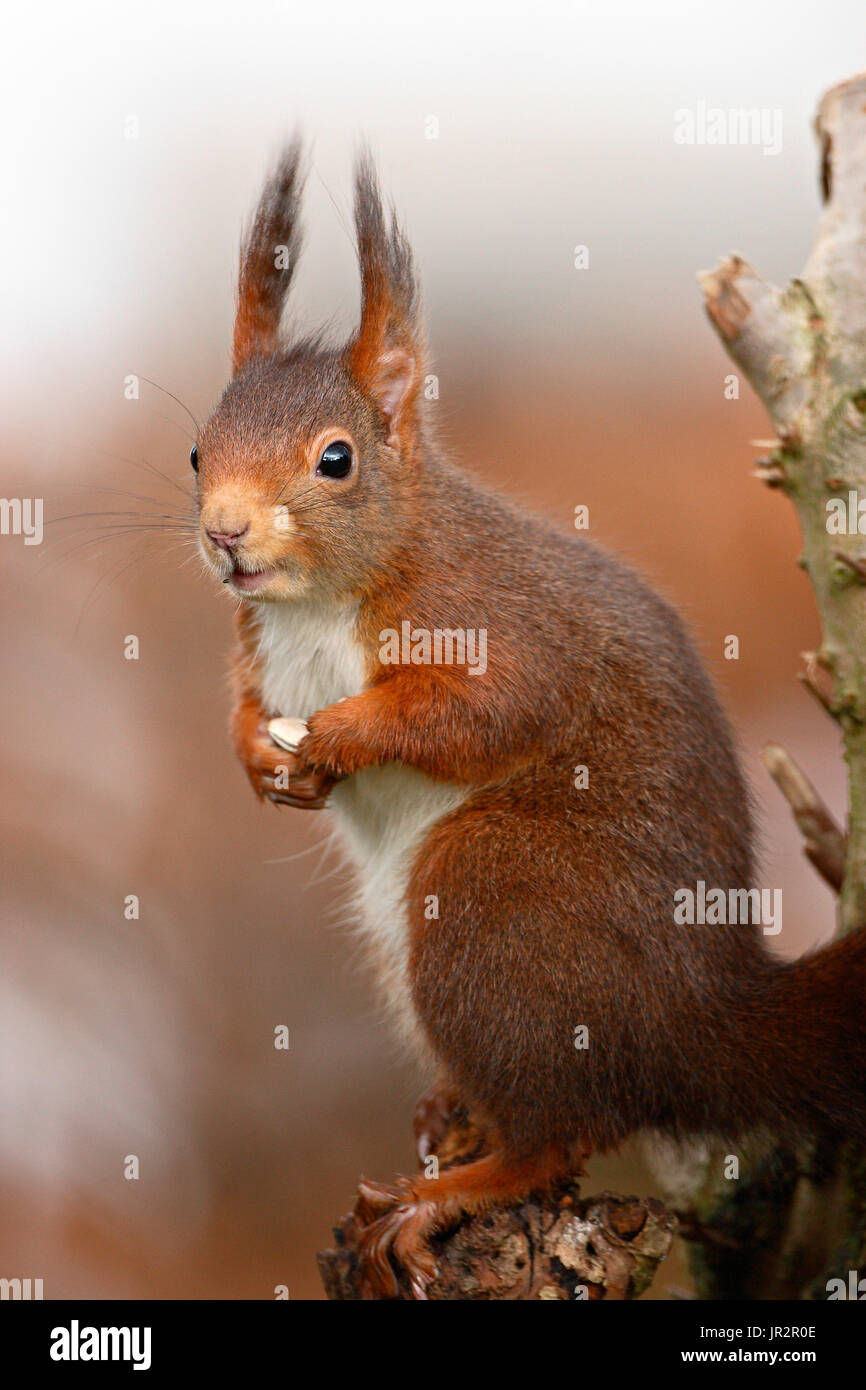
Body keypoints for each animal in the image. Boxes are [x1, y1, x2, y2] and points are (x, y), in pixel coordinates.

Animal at [191, 142, 866, 1298]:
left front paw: (339, 736)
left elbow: (481, 714)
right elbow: (247, 709)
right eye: (196, 452)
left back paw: (446, 1192)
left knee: (565, 1131)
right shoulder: (259, 648)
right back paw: (452, 1112)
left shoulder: (492, 628)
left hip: (493, 897)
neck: (326, 597)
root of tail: (699, 1023)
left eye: (336, 459)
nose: (224, 534)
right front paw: (260, 758)